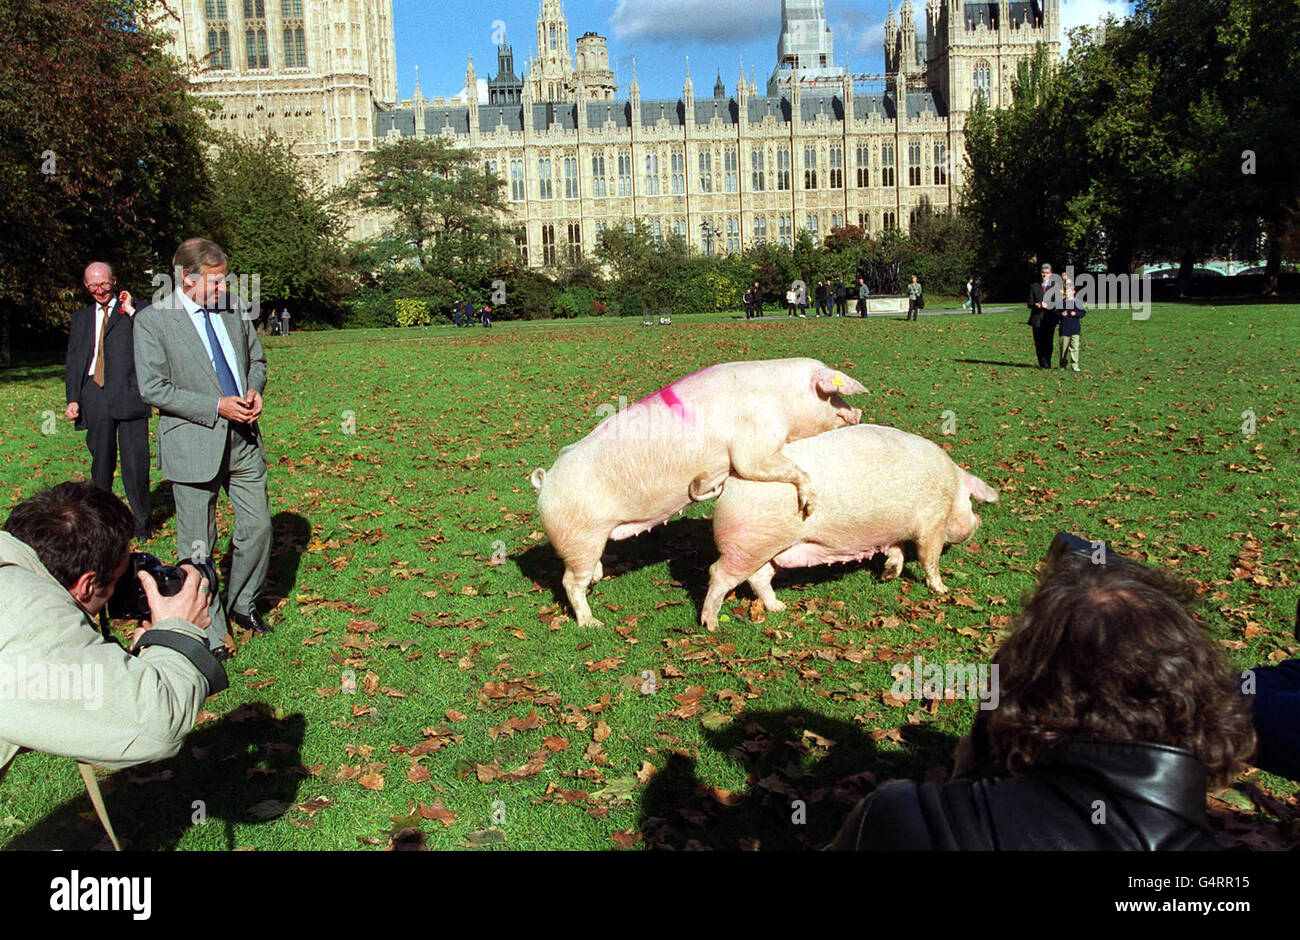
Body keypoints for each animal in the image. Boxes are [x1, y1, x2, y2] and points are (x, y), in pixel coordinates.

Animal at [530, 358, 868, 627]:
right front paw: (809, 505)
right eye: (830, 394)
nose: (859, 412)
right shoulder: (752, 451)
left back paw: (598, 580)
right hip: (579, 537)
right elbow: (775, 467)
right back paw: (592, 623)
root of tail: (546, 483)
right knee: (570, 582)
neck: (783, 399)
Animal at [701, 424, 999, 630]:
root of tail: (730, 483)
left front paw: (887, 575)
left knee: (759, 578)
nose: (979, 520)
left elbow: (897, 552)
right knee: (718, 573)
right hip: (746, 546)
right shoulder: (932, 522)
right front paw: (942, 590)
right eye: (971, 500)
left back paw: (779, 607)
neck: (952, 490)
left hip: (767, 547)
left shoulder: (895, 531)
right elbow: (929, 559)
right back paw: (710, 624)